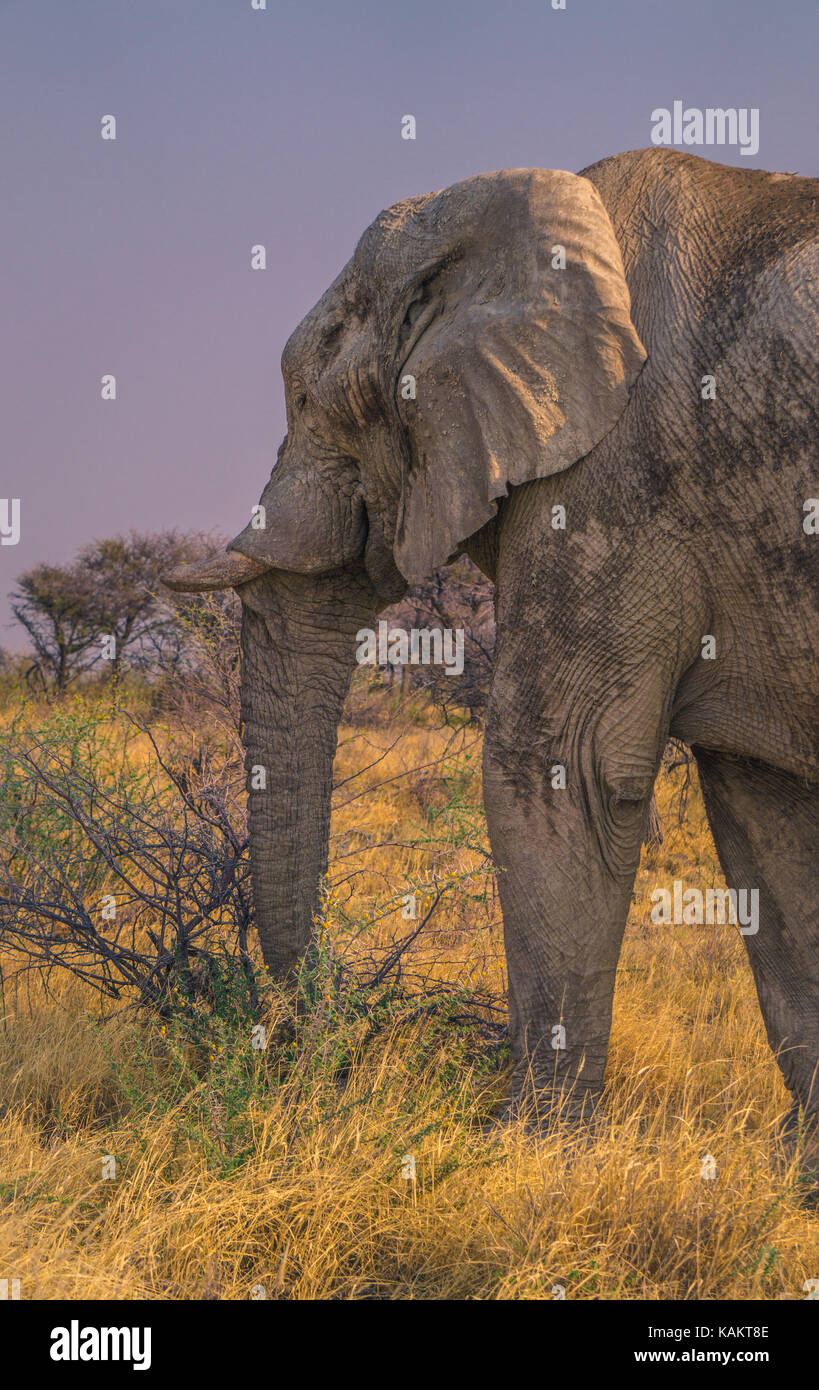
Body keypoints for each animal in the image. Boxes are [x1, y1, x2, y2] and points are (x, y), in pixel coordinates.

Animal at [165, 147, 818, 1134]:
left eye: (311, 395)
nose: (322, 1060)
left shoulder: (611, 479)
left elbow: (562, 766)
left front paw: (531, 1147)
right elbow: (768, 819)